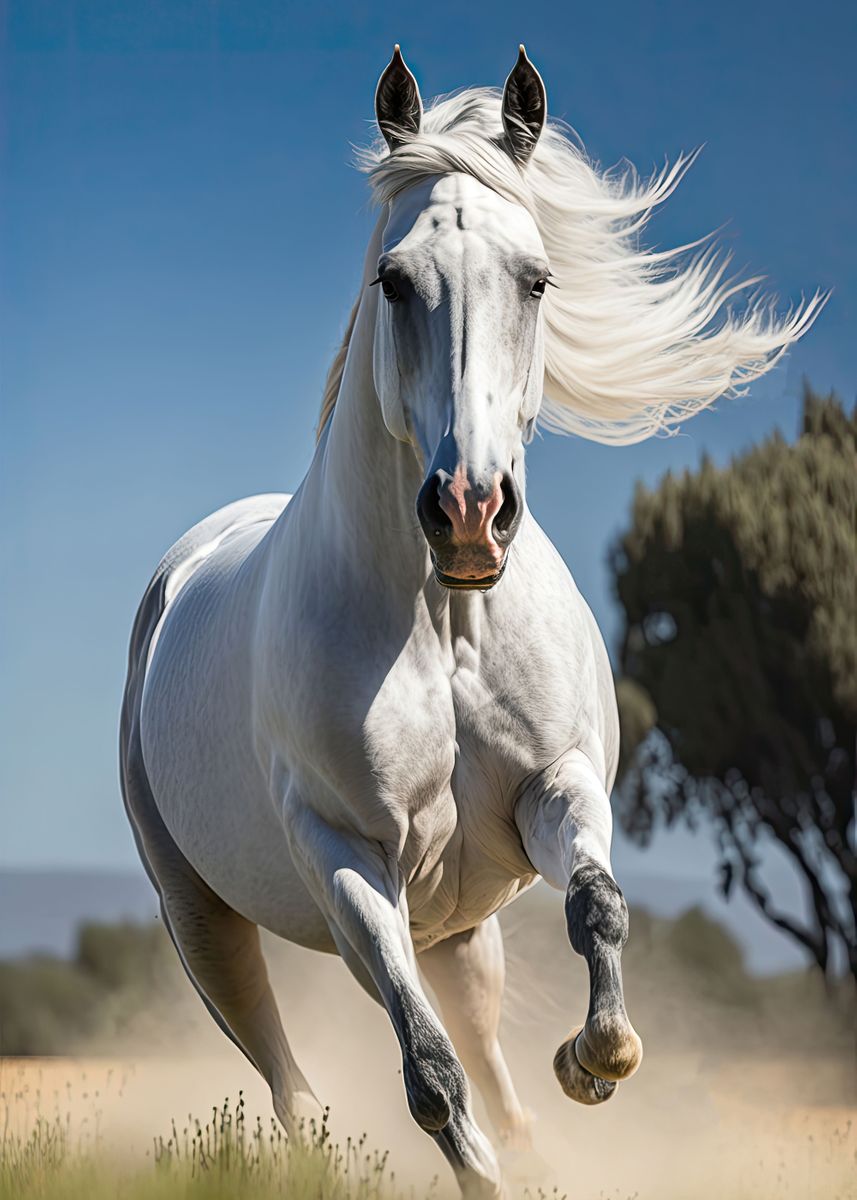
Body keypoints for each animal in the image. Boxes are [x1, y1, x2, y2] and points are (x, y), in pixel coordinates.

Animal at [120, 46, 822, 1197]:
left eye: (535, 277)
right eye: (394, 280)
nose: (466, 510)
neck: (446, 624)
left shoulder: (556, 785)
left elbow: (595, 908)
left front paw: (595, 1058)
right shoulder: (348, 857)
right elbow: (427, 1075)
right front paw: (491, 1164)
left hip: (457, 929)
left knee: (486, 1059)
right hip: (210, 921)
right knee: (296, 1089)